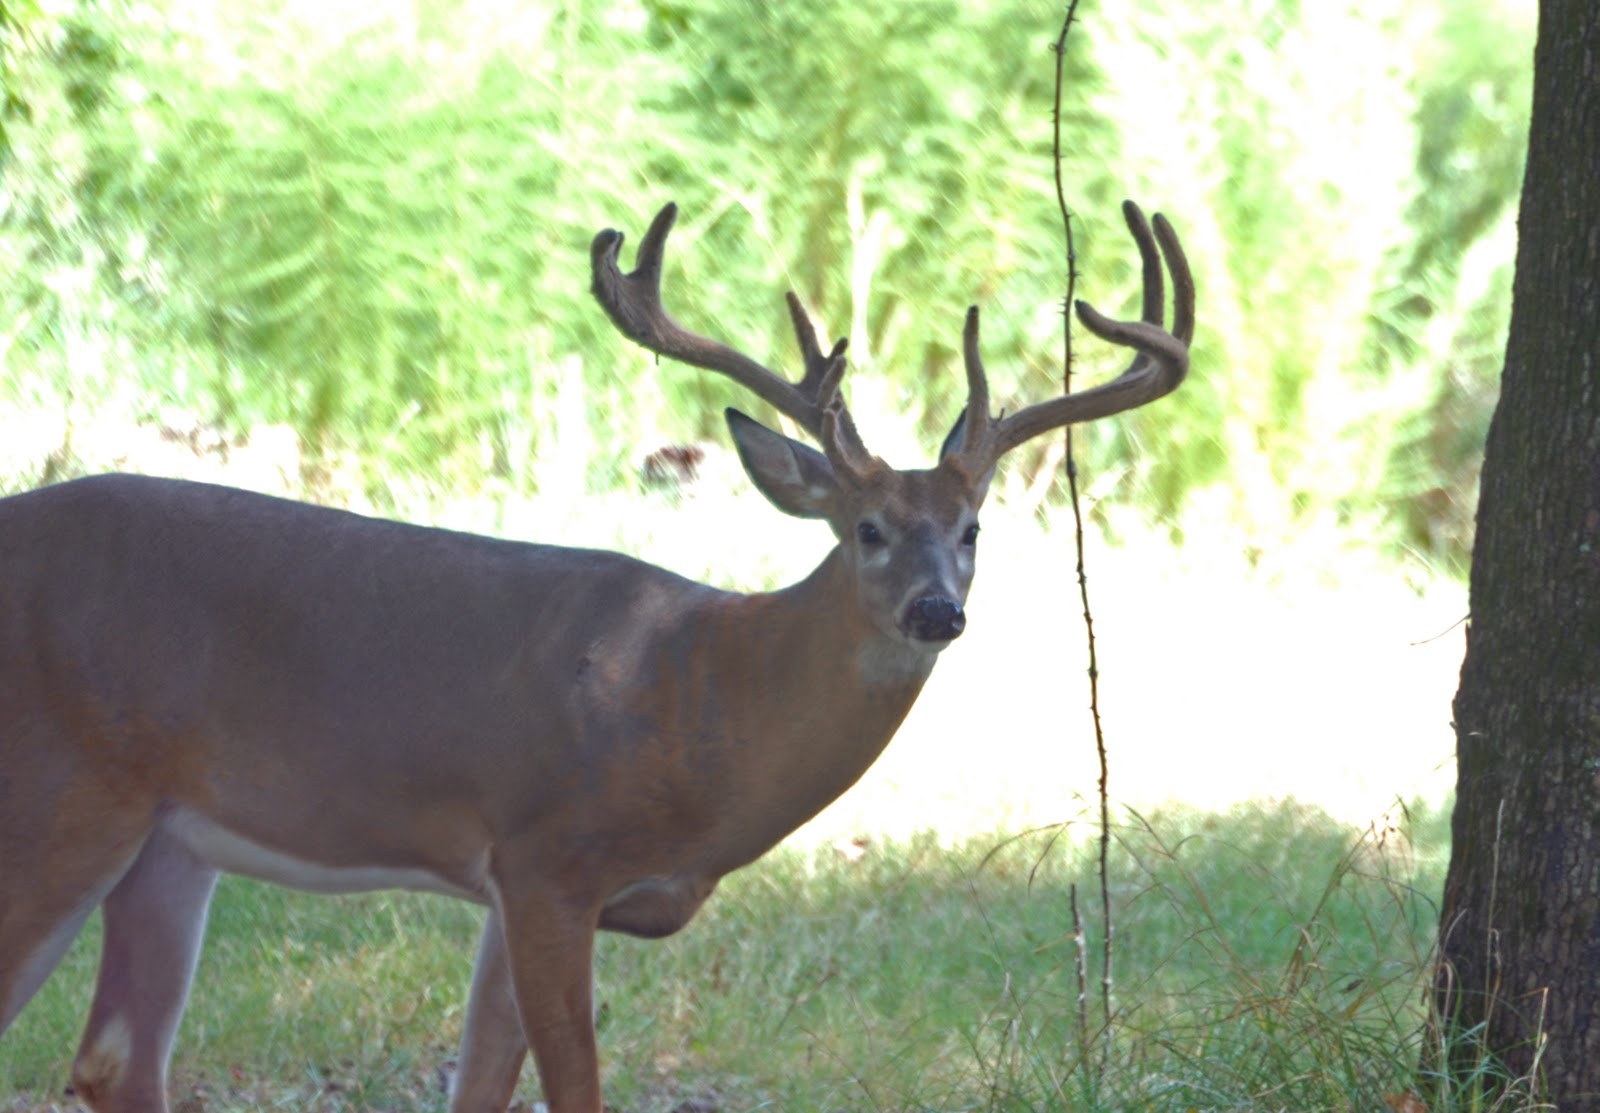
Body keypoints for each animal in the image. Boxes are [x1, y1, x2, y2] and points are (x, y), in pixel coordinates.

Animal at [0, 198, 1193, 1113]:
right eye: (866, 530)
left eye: (972, 530)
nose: (936, 611)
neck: (701, 699)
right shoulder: (547, 856)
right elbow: (572, 1089)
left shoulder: (511, 888)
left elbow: (480, 1089)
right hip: (62, 788)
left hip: (169, 838)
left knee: (113, 1060)